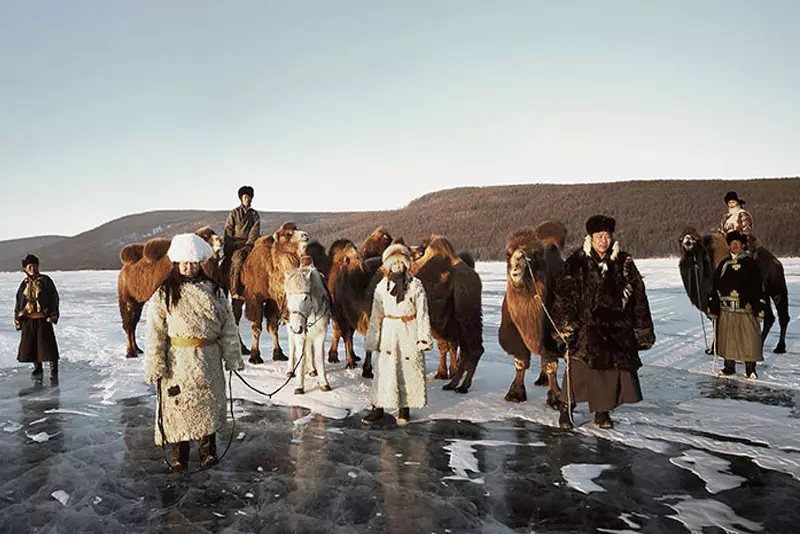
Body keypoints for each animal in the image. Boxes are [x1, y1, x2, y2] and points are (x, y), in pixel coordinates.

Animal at [284, 264, 332, 394]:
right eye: (289, 296)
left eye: (305, 297)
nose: (297, 327)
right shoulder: (299, 335)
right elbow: (300, 355)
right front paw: (299, 386)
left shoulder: (320, 334)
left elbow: (319, 357)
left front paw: (324, 383)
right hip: (291, 331)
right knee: (292, 348)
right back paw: (291, 370)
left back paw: (311, 369)